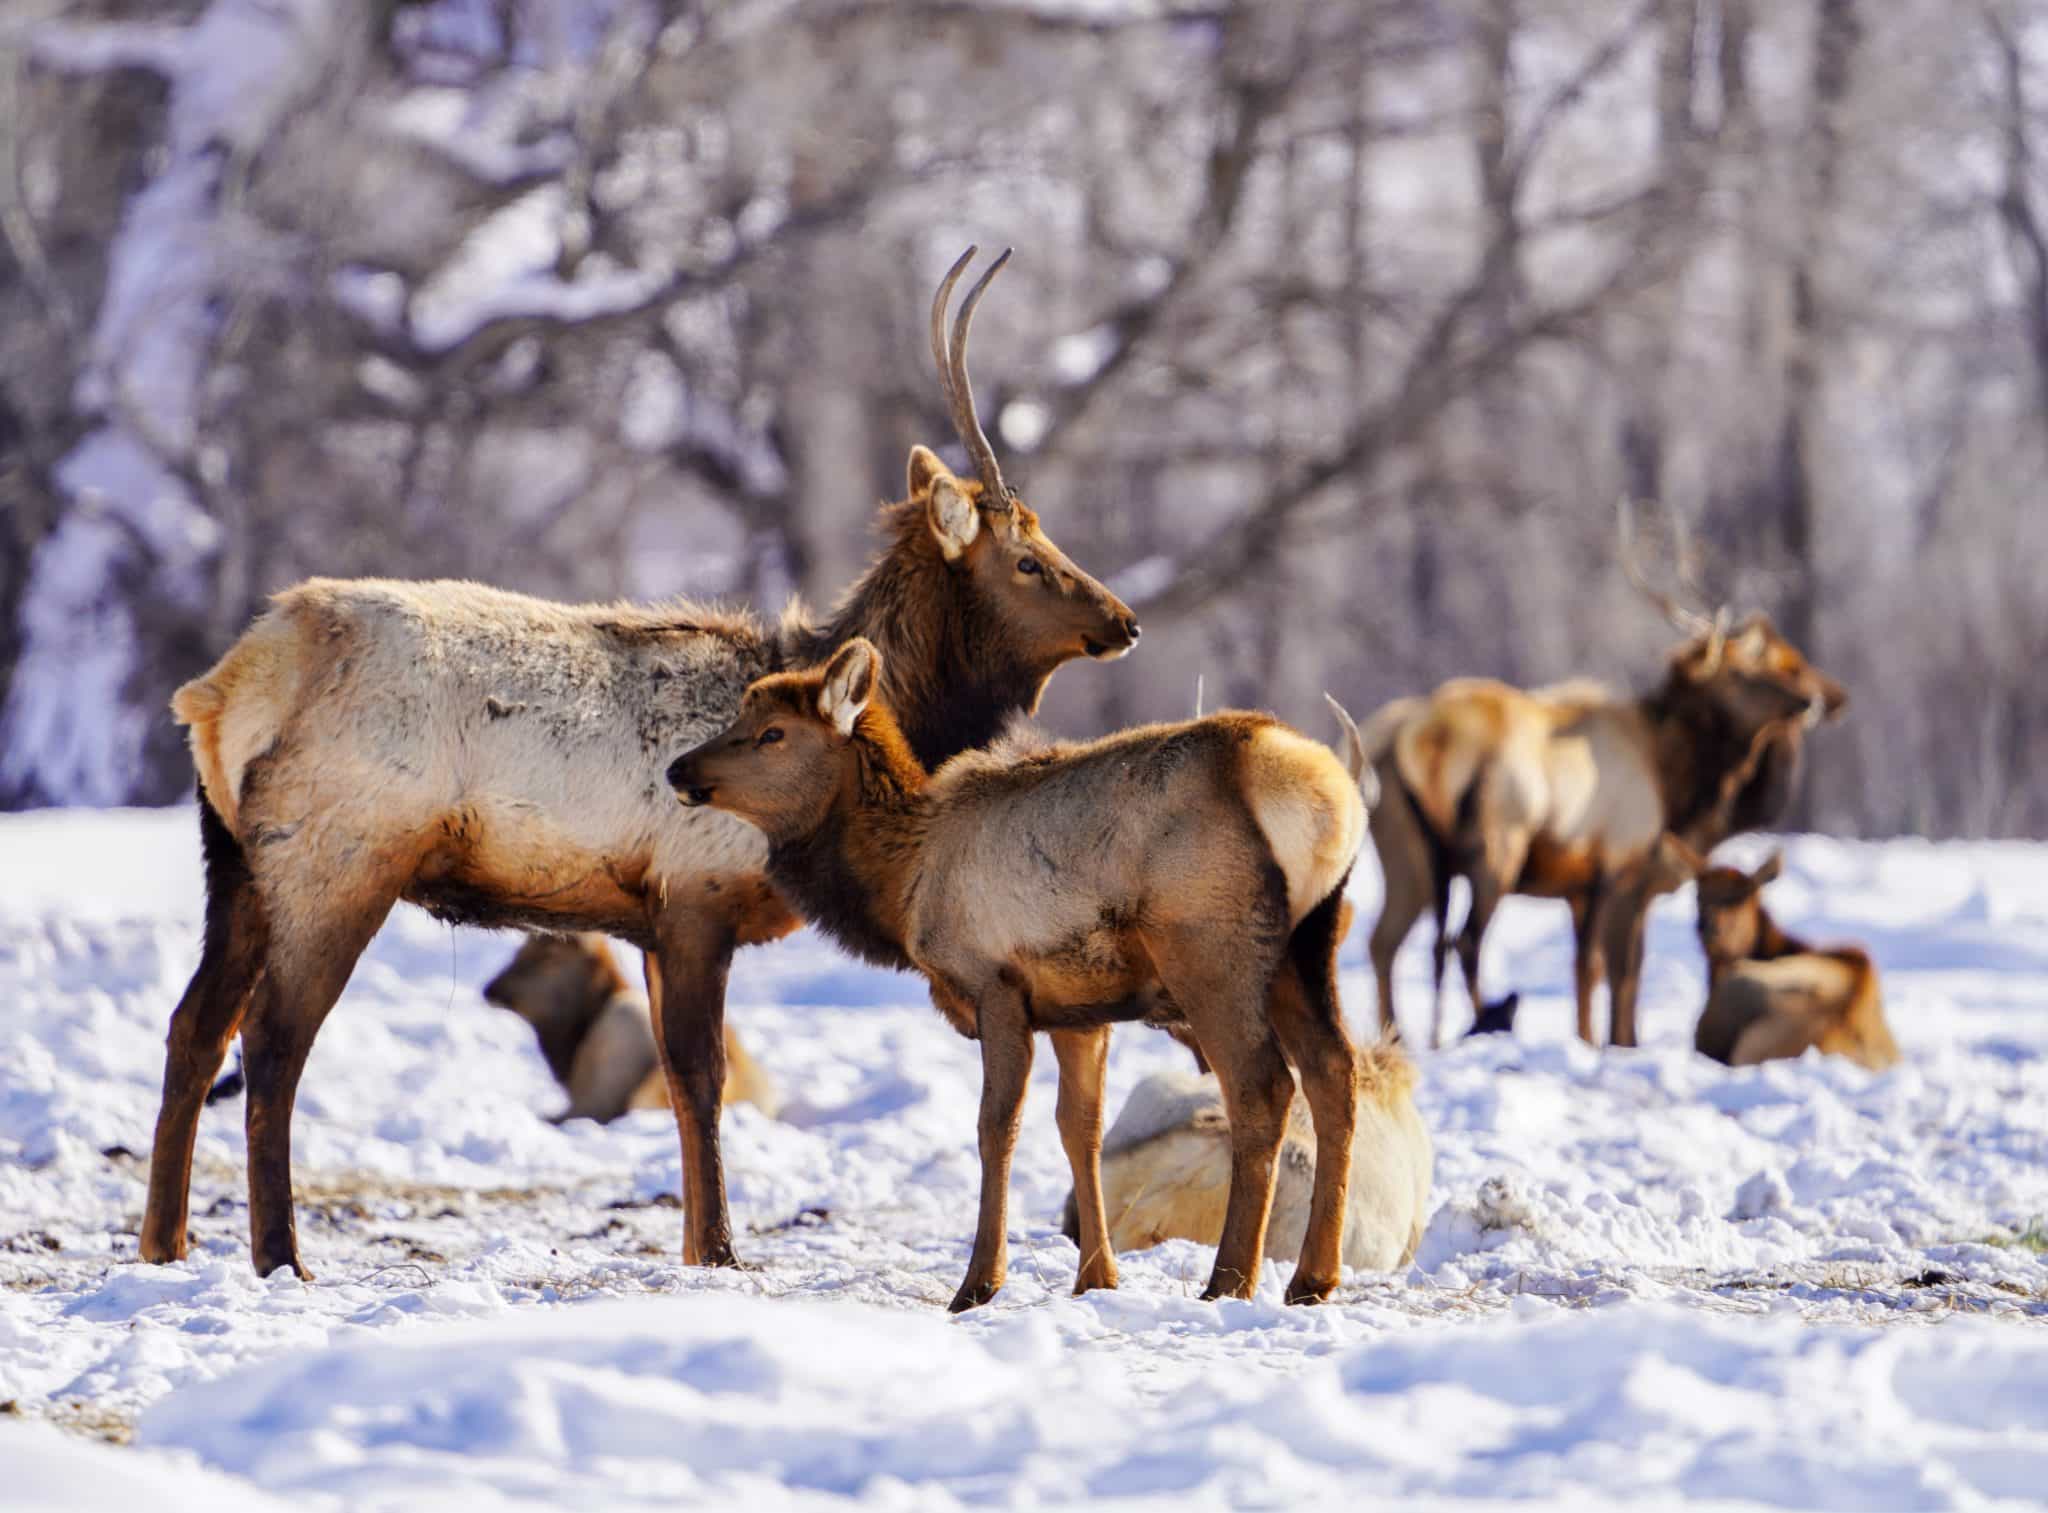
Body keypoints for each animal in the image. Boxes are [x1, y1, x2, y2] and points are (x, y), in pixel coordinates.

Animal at [666, 640, 1374, 1310]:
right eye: (740, 718)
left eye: (772, 733)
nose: (679, 768)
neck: (900, 885)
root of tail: (1329, 796)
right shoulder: (1078, 1010)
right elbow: (1079, 1131)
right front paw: (1096, 1278)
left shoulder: (995, 986)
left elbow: (995, 1128)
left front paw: (979, 1283)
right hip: (1308, 946)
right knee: (1335, 1072)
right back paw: (1311, 1278)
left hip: (1209, 950)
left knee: (1263, 1087)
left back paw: (1228, 1280)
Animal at [1361, 502, 1848, 1049]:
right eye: (1750, 669)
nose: (1817, 699)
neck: (1675, 788)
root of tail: (1409, 742)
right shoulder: (1617, 868)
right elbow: (1606, 970)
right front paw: (1598, 1041)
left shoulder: (1587, 886)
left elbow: (1610, 971)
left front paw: (1612, 1039)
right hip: (1495, 847)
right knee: (1461, 942)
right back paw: (1483, 1021)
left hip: (1411, 856)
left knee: (1393, 941)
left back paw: (1409, 1036)